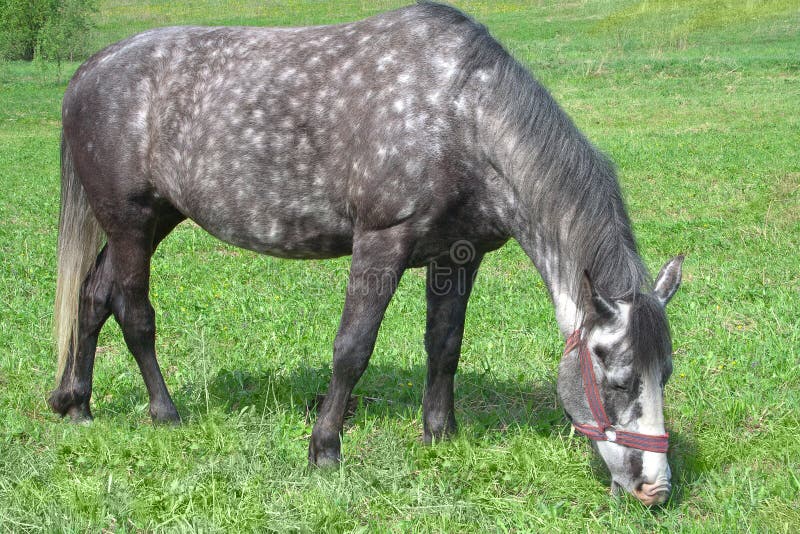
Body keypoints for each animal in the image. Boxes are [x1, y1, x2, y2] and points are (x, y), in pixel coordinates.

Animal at [49, 2, 684, 505]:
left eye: (666, 374)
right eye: (617, 379)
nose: (654, 488)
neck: (460, 115)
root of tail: (89, 69)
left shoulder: (458, 256)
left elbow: (444, 346)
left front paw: (440, 434)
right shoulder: (381, 242)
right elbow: (352, 349)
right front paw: (324, 449)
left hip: (153, 219)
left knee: (94, 296)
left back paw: (77, 404)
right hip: (130, 223)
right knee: (134, 313)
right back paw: (165, 414)